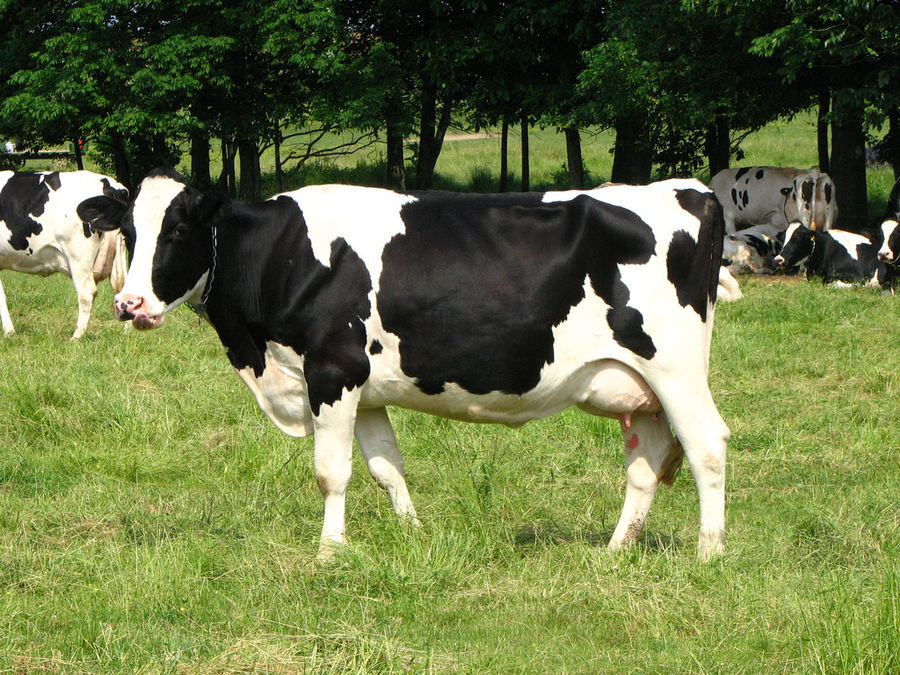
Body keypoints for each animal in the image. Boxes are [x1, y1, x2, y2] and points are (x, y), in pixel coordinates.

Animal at [0, 170, 129, 338]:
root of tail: (109, 185)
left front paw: (8, 332)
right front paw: (9, 332)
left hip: (78, 256)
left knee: (87, 293)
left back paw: (76, 337)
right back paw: (127, 331)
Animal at [77, 169, 731, 561]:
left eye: (180, 229)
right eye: (129, 230)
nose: (129, 304)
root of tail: (688, 189)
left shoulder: (332, 371)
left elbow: (331, 472)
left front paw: (328, 553)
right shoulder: (364, 389)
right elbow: (387, 468)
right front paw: (413, 535)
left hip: (676, 370)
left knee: (707, 447)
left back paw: (709, 552)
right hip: (638, 388)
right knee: (646, 464)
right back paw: (617, 550)